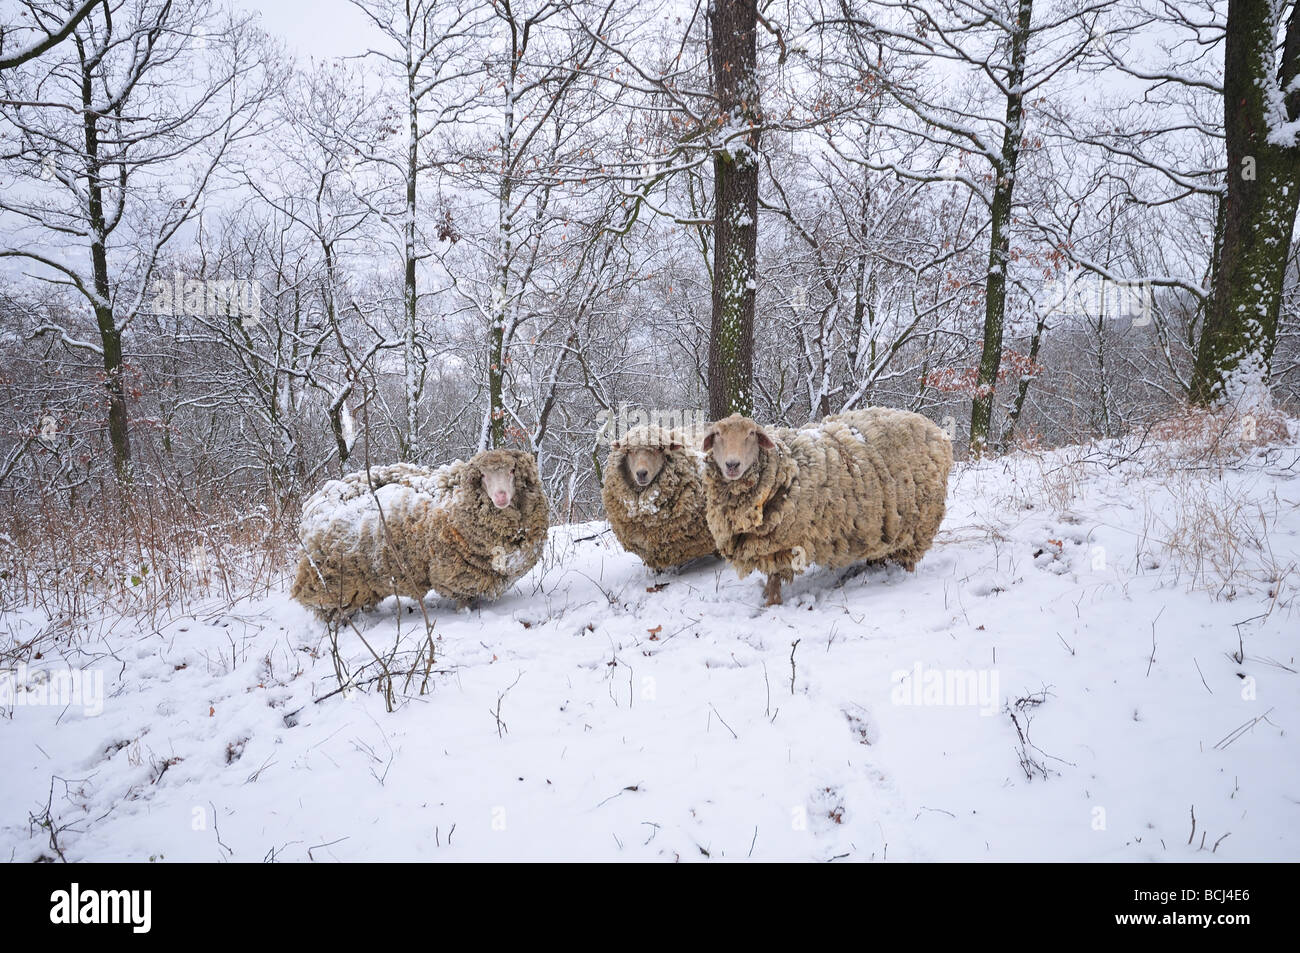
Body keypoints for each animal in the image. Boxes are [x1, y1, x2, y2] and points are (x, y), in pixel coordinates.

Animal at [290, 449, 549, 618]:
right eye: (483, 475)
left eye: (513, 470)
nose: (501, 497)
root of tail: (315, 502)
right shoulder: (454, 575)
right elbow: (463, 601)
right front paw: (465, 614)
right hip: (331, 582)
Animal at [702, 408, 952, 606]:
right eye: (717, 435)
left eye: (751, 434)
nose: (732, 465)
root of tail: (935, 428)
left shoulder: (780, 544)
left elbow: (774, 579)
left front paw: (771, 604)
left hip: (919, 523)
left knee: (909, 558)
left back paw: (903, 577)